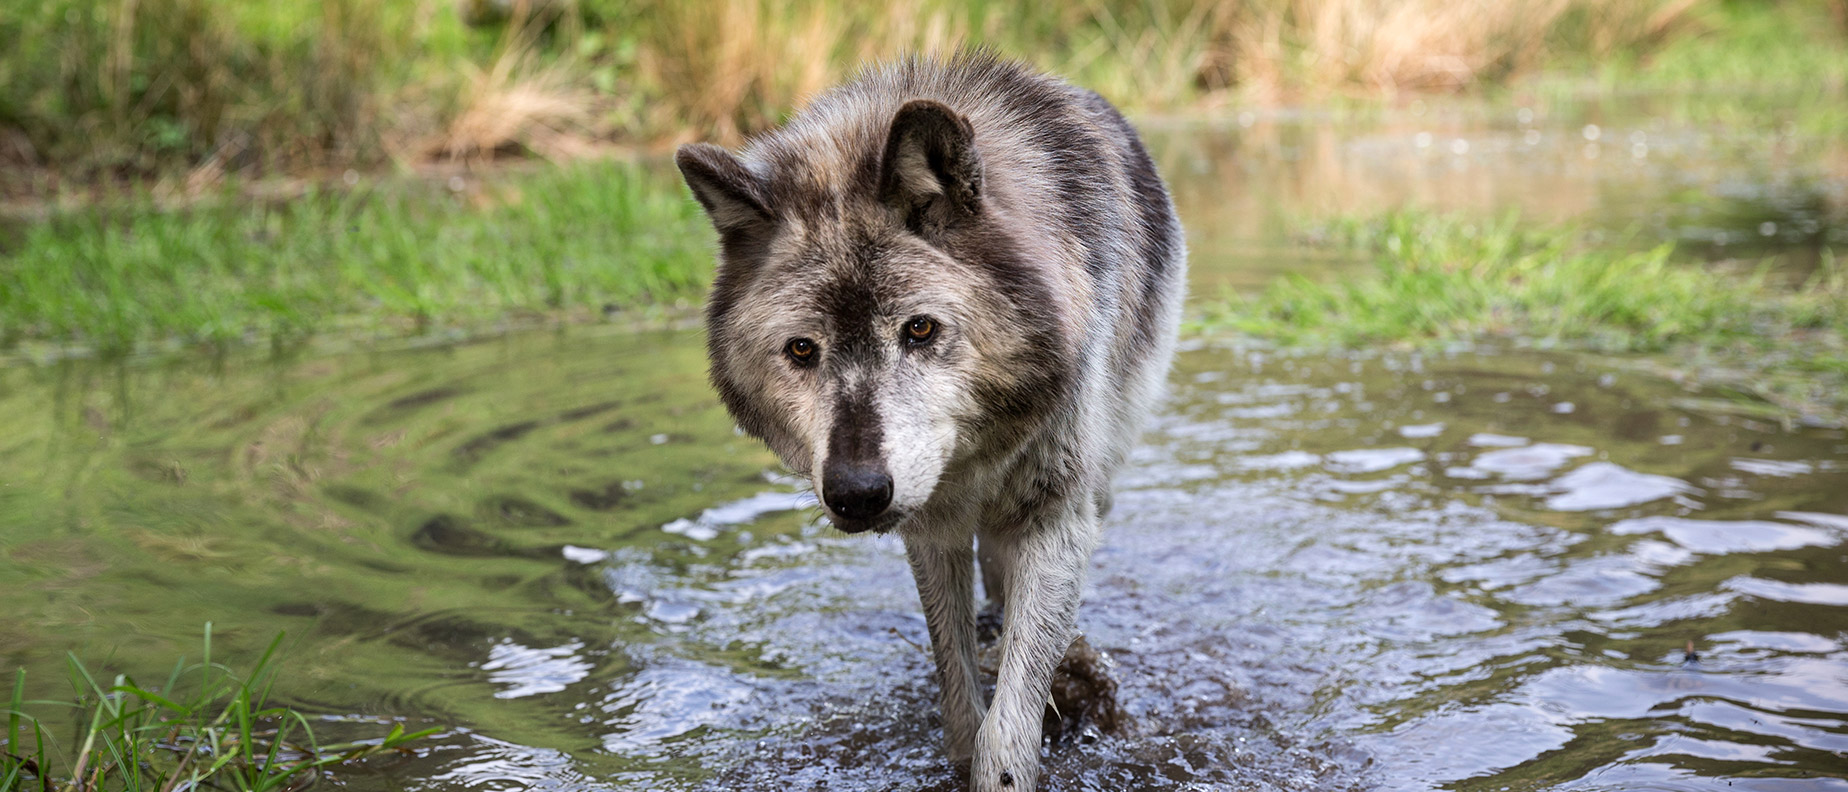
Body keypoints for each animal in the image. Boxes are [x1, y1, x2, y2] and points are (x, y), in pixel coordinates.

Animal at [676, 52, 1184, 791]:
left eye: (919, 329)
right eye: (801, 350)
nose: (857, 493)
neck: (978, 454)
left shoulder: (1057, 518)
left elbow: (1006, 733)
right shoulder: (931, 530)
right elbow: (962, 712)